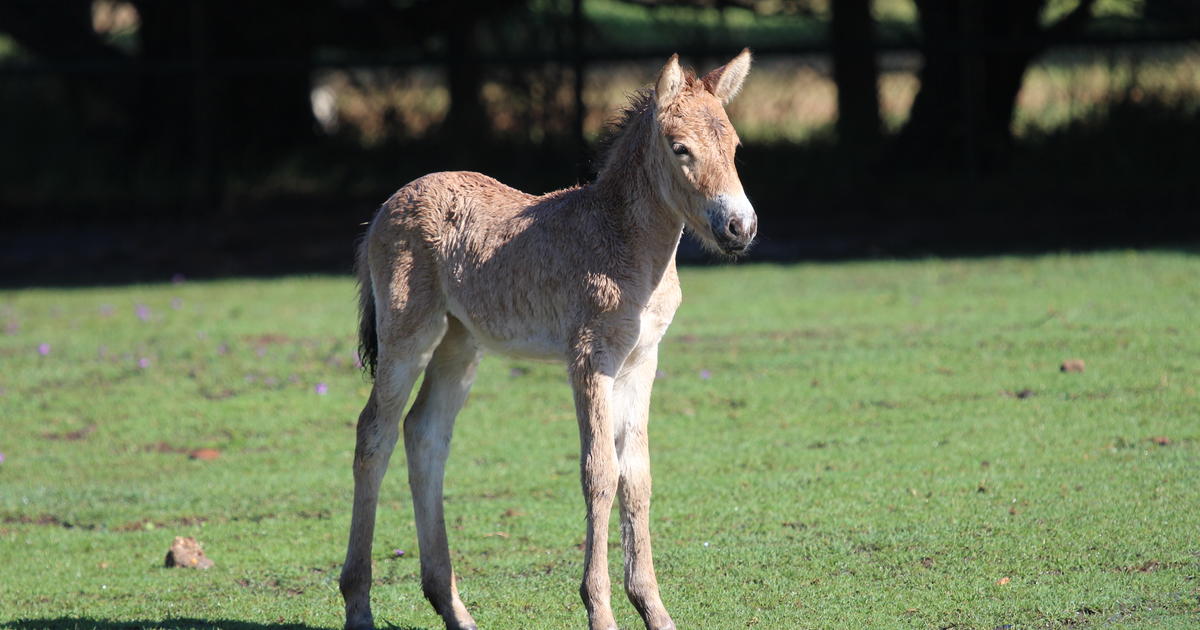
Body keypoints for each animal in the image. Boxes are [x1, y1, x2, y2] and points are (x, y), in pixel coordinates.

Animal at [340, 49, 757, 630]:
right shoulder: (589, 358)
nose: (740, 228)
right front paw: (600, 610)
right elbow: (599, 472)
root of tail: (382, 209)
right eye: (681, 149)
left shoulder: (641, 361)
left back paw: (453, 608)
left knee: (425, 433)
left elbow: (637, 478)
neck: (626, 242)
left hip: (459, 343)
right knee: (374, 435)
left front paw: (653, 609)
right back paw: (359, 605)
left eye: (735, 146)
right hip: (408, 335)